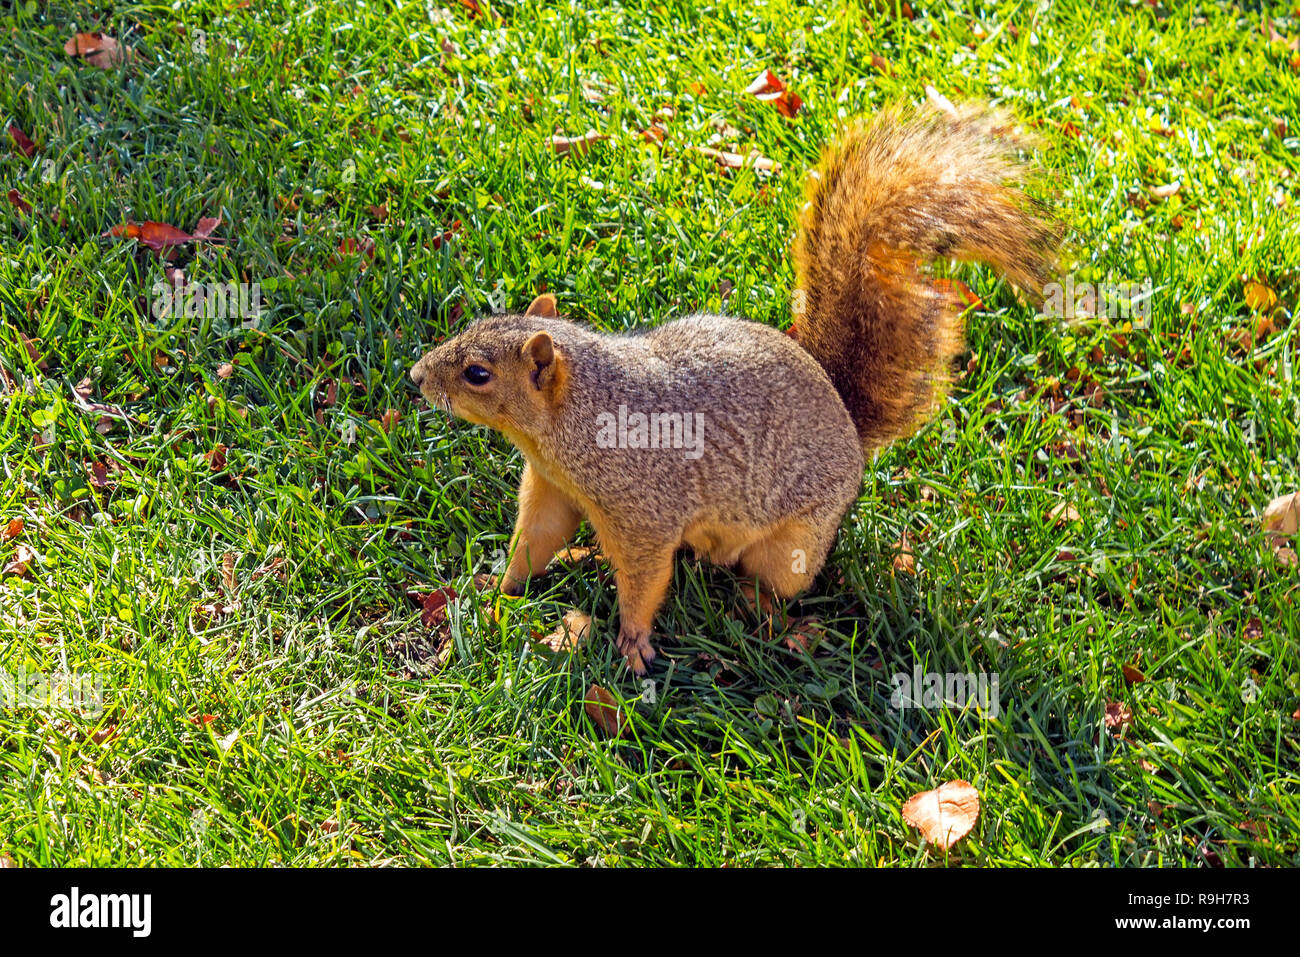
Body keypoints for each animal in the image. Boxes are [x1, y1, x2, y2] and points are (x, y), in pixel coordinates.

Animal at [410, 102, 1059, 674]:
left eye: (478, 374)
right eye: (472, 326)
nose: (416, 378)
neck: (566, 428)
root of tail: (849, 427)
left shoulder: (646, 511)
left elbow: (645, 577)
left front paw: (633, 640)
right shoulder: (551, 487)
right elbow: (536, 539)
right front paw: (499, 589)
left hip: (795, 543)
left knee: (780, 585)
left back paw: (754, 605)